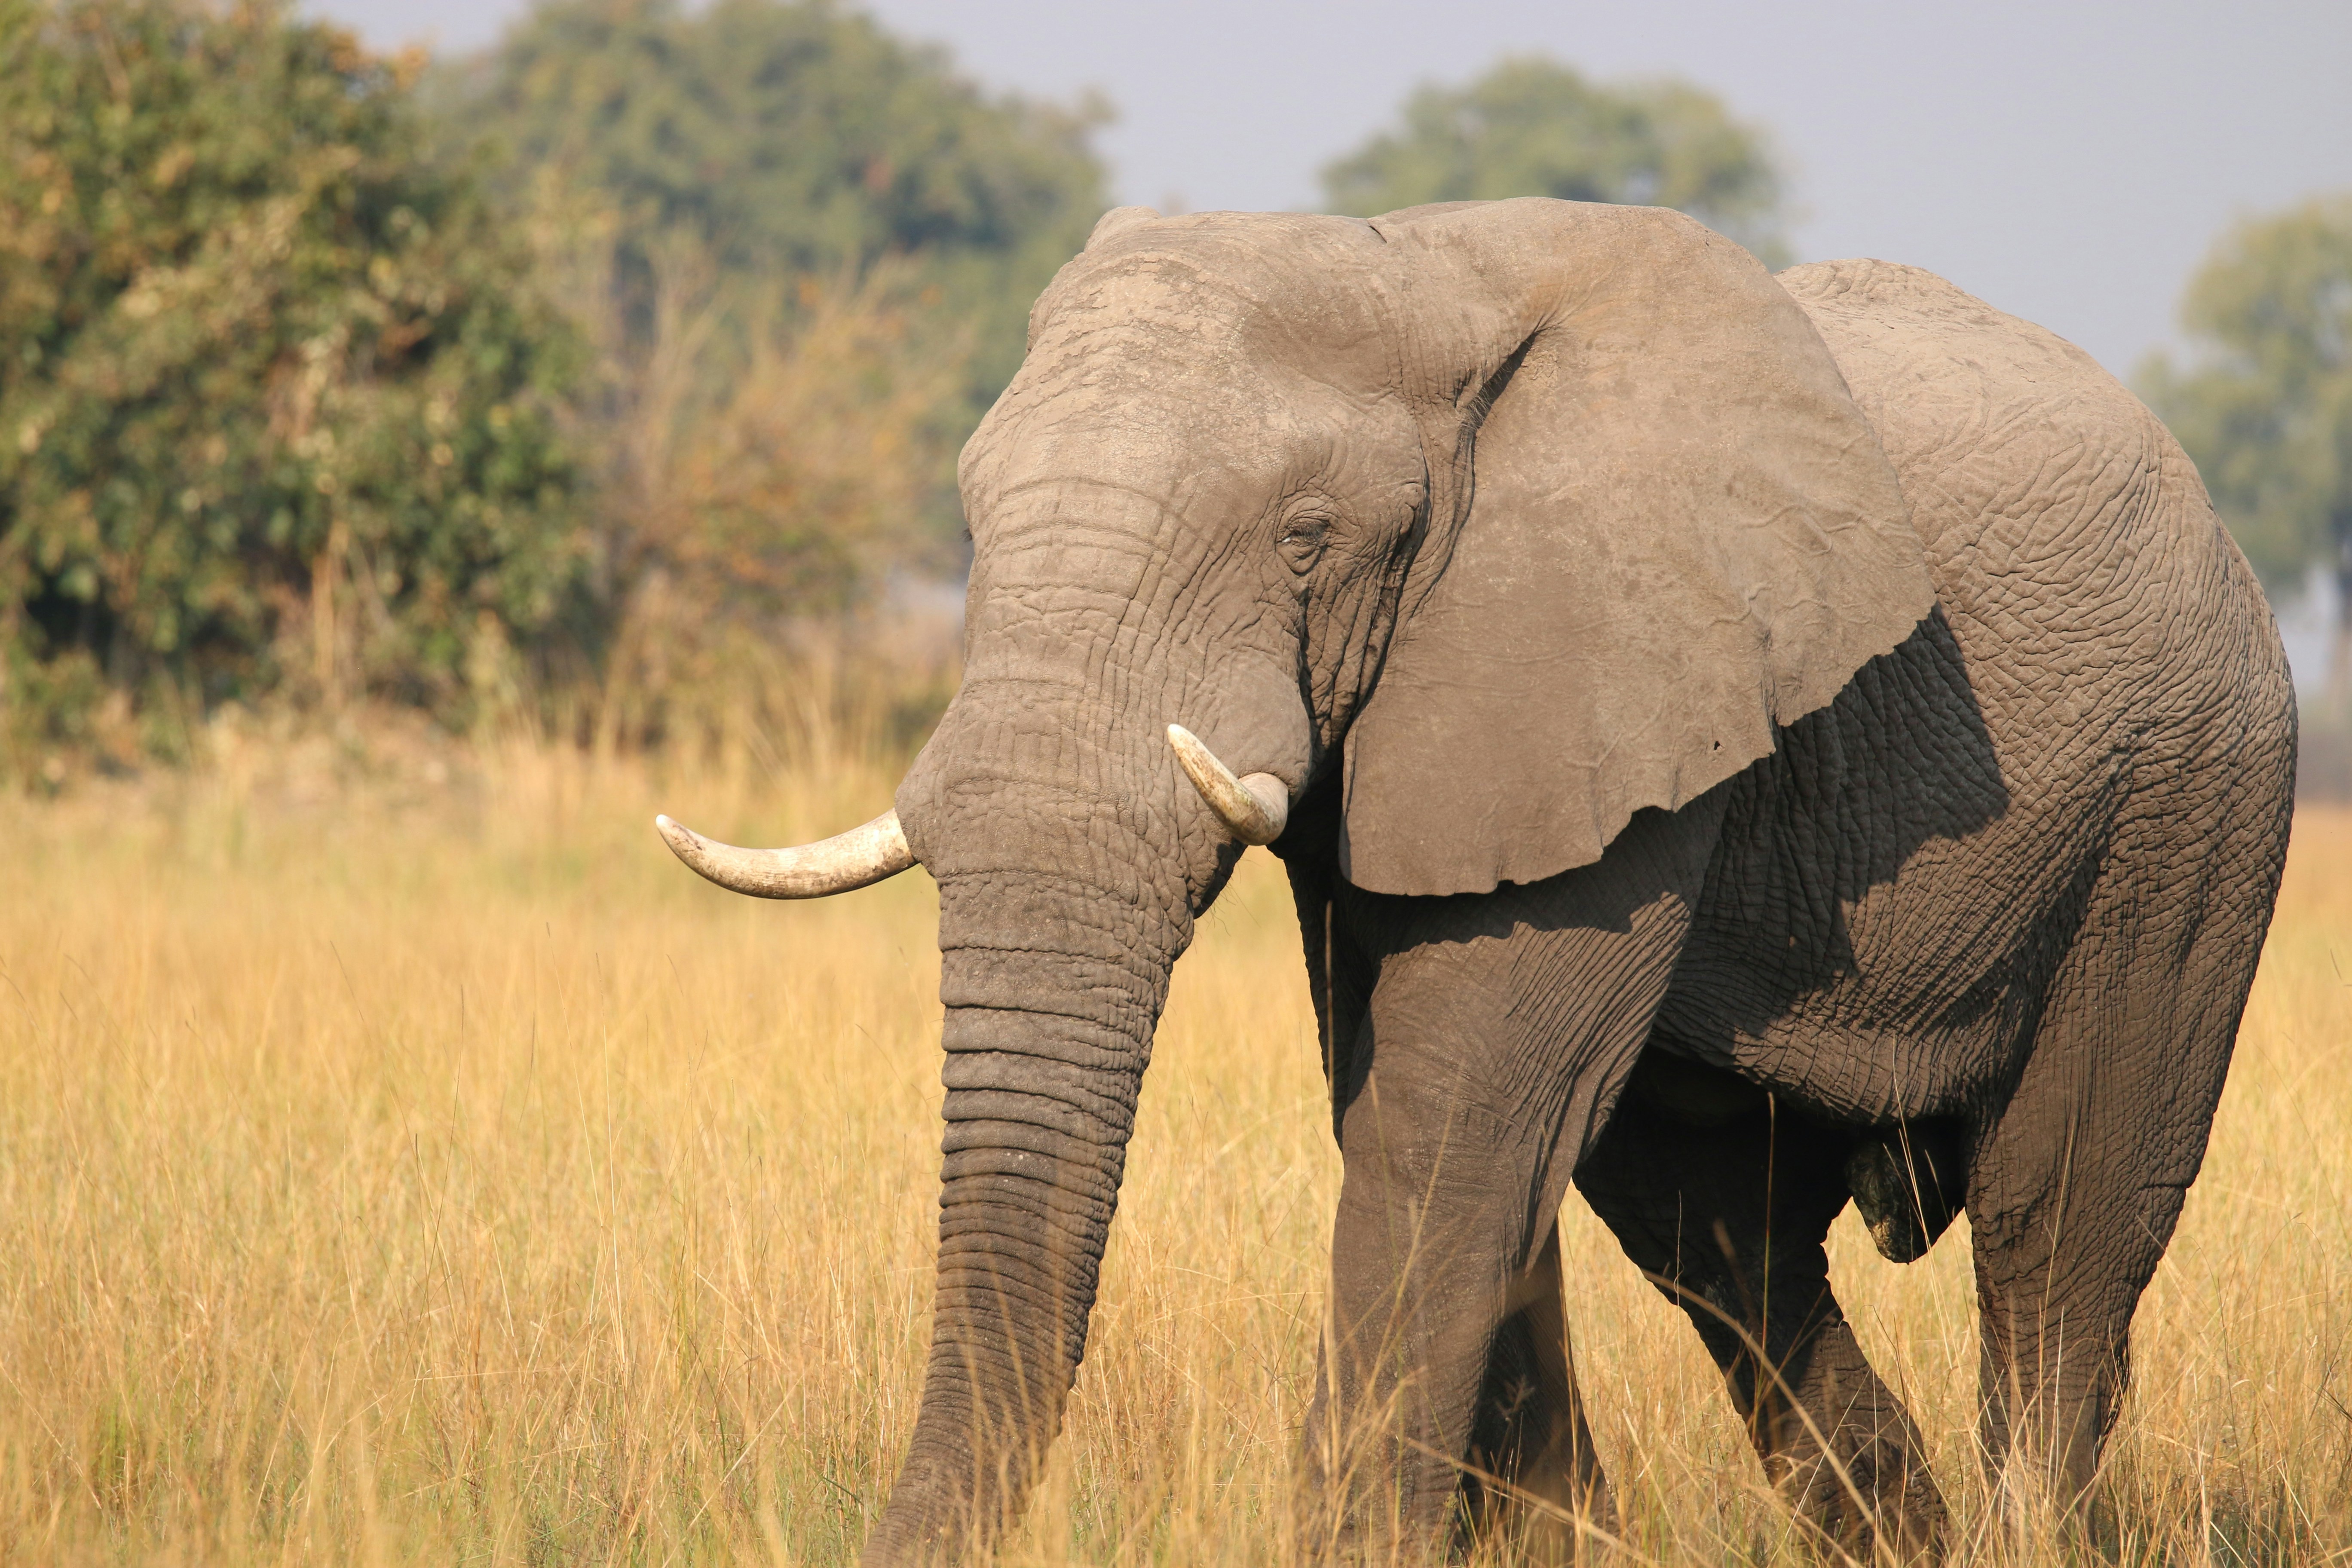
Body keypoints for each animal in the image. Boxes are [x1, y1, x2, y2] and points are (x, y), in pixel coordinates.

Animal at [655, 198, 2295, 1563]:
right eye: (972, 524)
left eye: (1307, 537)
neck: (1404, 267)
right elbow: (1421, 1102)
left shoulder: (1600, 651)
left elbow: (1458, 1109)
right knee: (1715, 1230)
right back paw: (1904, 1538)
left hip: (2189, 803)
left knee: (2061, 1225)